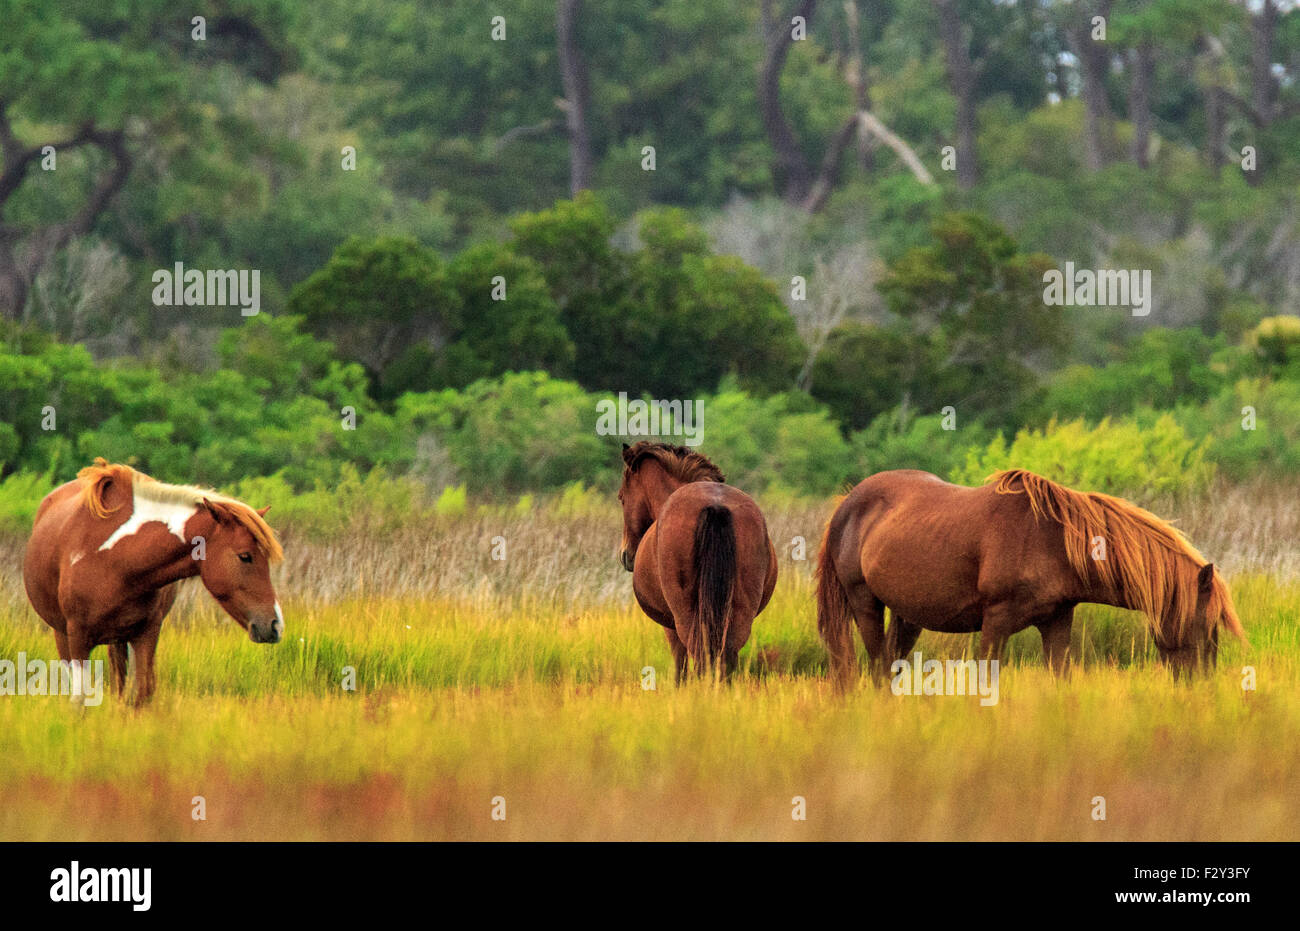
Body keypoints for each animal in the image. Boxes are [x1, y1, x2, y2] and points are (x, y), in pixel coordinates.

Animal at [22, 459, 285, 705]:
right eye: (245, 556)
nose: (275, 625)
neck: (118, 562)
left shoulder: (146, 635)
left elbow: (141, 695)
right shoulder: (77, 638)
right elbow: (80, 700)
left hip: (119, 641)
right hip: (63, 635)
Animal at [617, 442, 778, 681]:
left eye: (622, 498)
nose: (625, 555)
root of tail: (716, 506)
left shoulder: (671, 627)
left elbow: (680, 665)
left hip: (686, 617)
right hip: (739, 613)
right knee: (726, 657)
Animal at [816, 468, 1245, 684]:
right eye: (1205, 623)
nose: (1203, 686)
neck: (1052, 540)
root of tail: (848, 503)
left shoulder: (1057, 622)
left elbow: (1061, 679)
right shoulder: (996, 622)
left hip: (908, 616)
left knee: (891, 665)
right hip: (865, 604)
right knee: (875, 667)